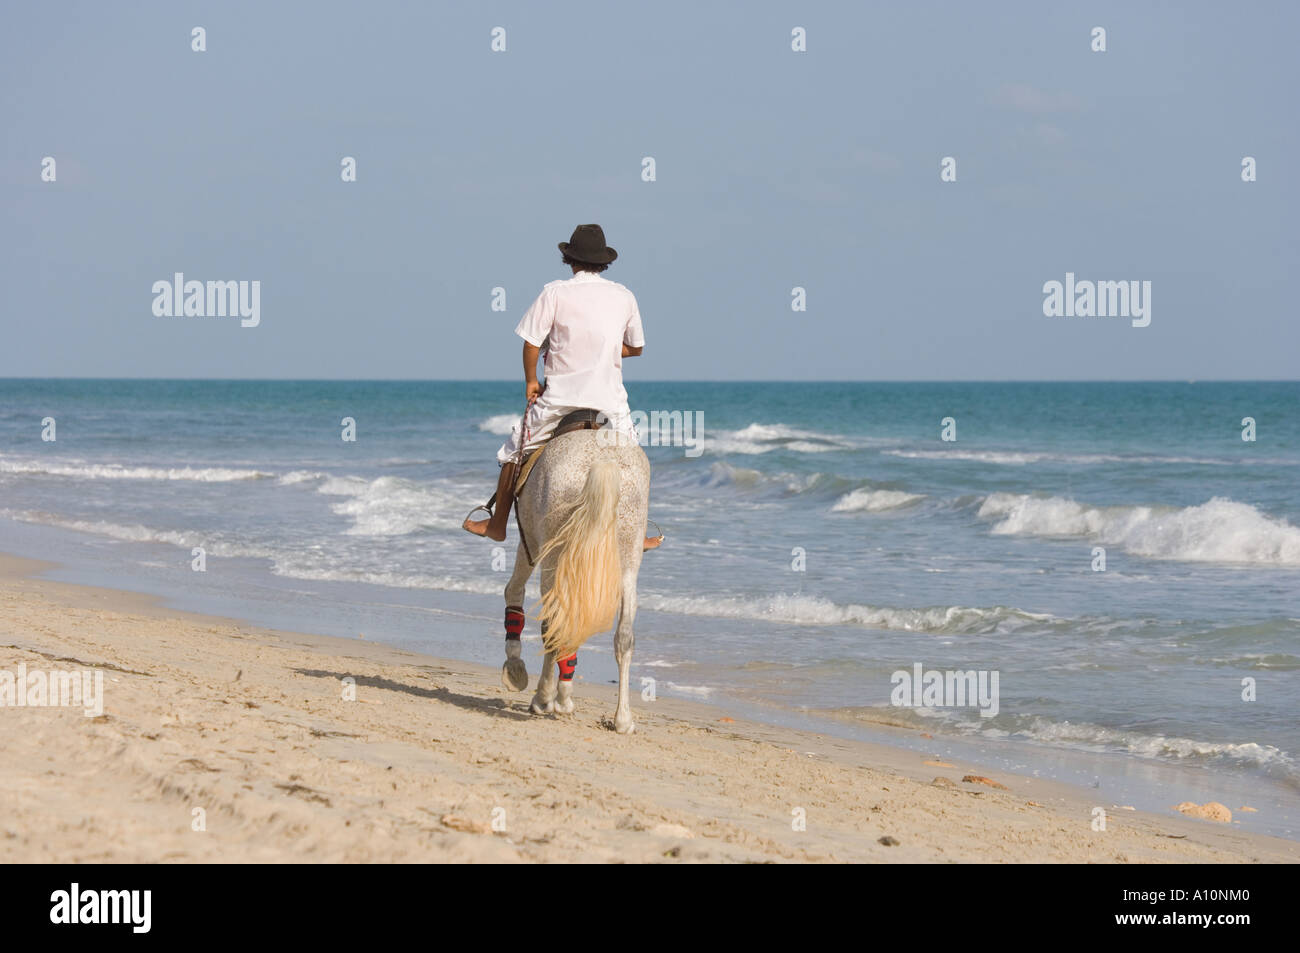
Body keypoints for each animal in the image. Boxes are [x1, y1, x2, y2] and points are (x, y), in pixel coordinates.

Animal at [499, 426, 649, 733]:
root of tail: (604, 461)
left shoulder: (531, 543)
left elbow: (514, 591)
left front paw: (517, 669)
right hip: (628, 563)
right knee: (623, 636)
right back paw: (623, 719)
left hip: (553, 557)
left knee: (553, 624)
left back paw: (545, 698)